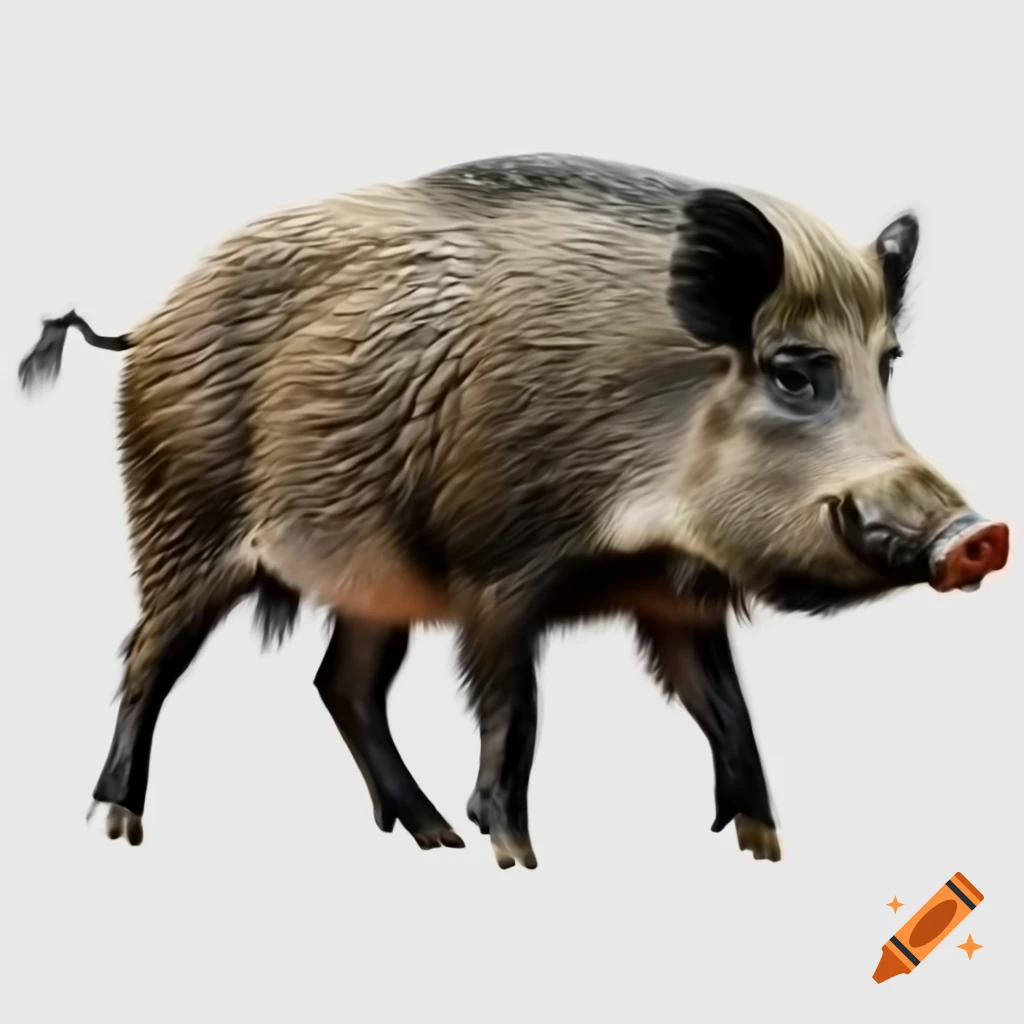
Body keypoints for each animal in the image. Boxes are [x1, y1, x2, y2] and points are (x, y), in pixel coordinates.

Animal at [18, 153, 1009, 871]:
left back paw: (429, 839)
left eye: (888, 364)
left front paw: (764, 851)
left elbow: (728, 710)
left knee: (342, 683)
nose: (979, 536)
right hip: (181, 523)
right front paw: (518, 858)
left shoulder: (675, 596)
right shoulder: (495, 575)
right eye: (795, 372)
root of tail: (149, 323)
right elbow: (516, 713)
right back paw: (120, 825)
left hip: (368, 578)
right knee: (149, 657)